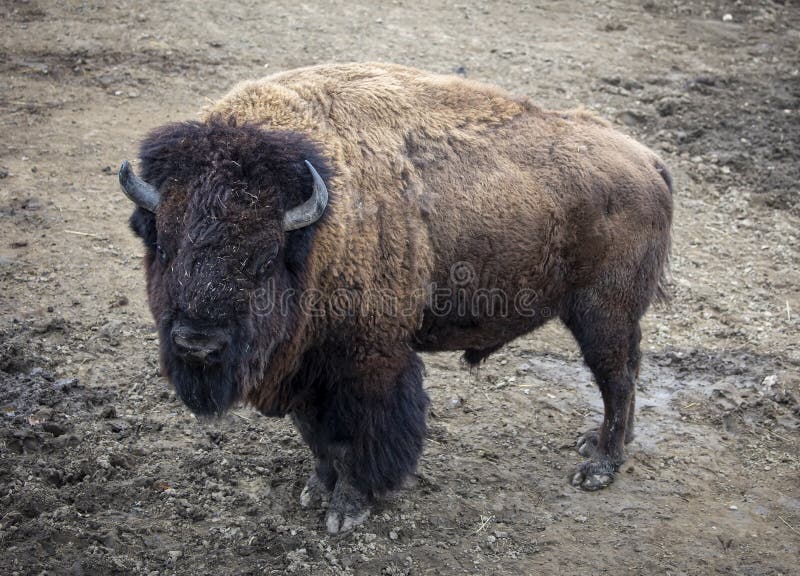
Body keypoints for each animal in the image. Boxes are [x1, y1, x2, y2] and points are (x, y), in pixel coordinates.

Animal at [120, 63, 673, 533]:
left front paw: (348, 509)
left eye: (262, 258)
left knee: (617, 378)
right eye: (164, 246)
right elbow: (318, 438)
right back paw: (598, 443)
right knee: (625, 374)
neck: (318, 228)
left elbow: (360, 436)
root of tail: (648, 159)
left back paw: (598, 465)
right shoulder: (307, 364)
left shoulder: (370, 360)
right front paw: (315, 490)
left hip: (602, 314)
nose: (197, 343)